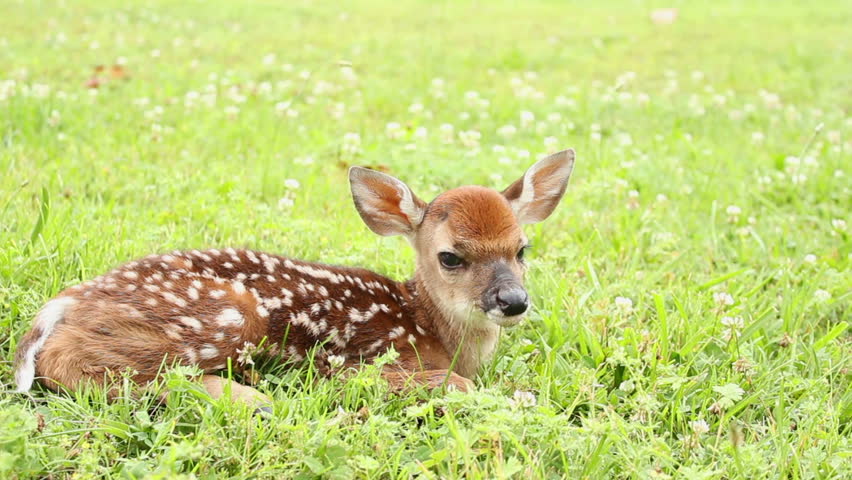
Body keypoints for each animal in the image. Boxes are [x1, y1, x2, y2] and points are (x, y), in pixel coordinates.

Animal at [13, 149, 575, 412]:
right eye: (451, 257)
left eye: (521, 249)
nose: (513, 300)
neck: (429, 326)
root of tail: (65, 301)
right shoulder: (357, 366)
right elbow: (457, 384)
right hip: (230, 314)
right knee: (73, 367)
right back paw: (250, 399)